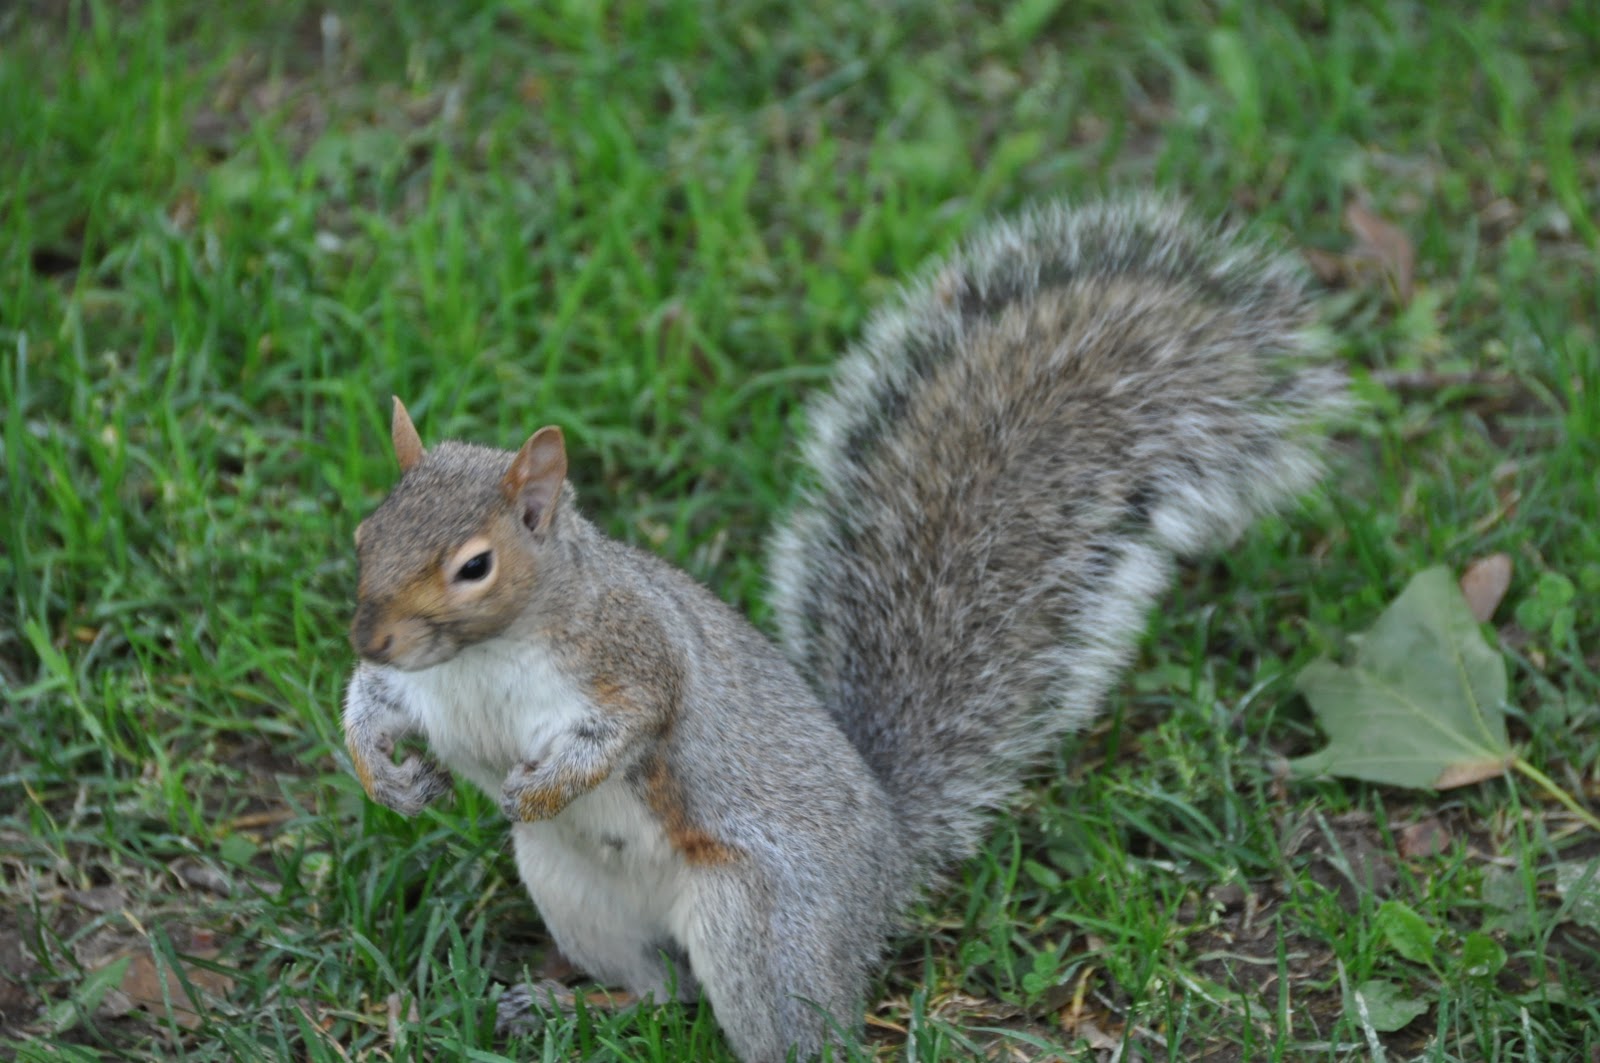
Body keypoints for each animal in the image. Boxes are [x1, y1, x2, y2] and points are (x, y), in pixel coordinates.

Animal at [341, 197, 1346, 1062]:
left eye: (475, 565)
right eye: (364, 531)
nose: (368, 636)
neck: (480, 655)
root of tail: (888, 863)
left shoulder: (630, 654)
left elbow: (630, 726)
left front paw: (540, 787)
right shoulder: (417, 680)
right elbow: (370, 709)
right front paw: (386, 777)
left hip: (757, 928)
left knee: (773, 1025)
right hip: (578, 893)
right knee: (660, 991)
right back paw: (562, 1004)